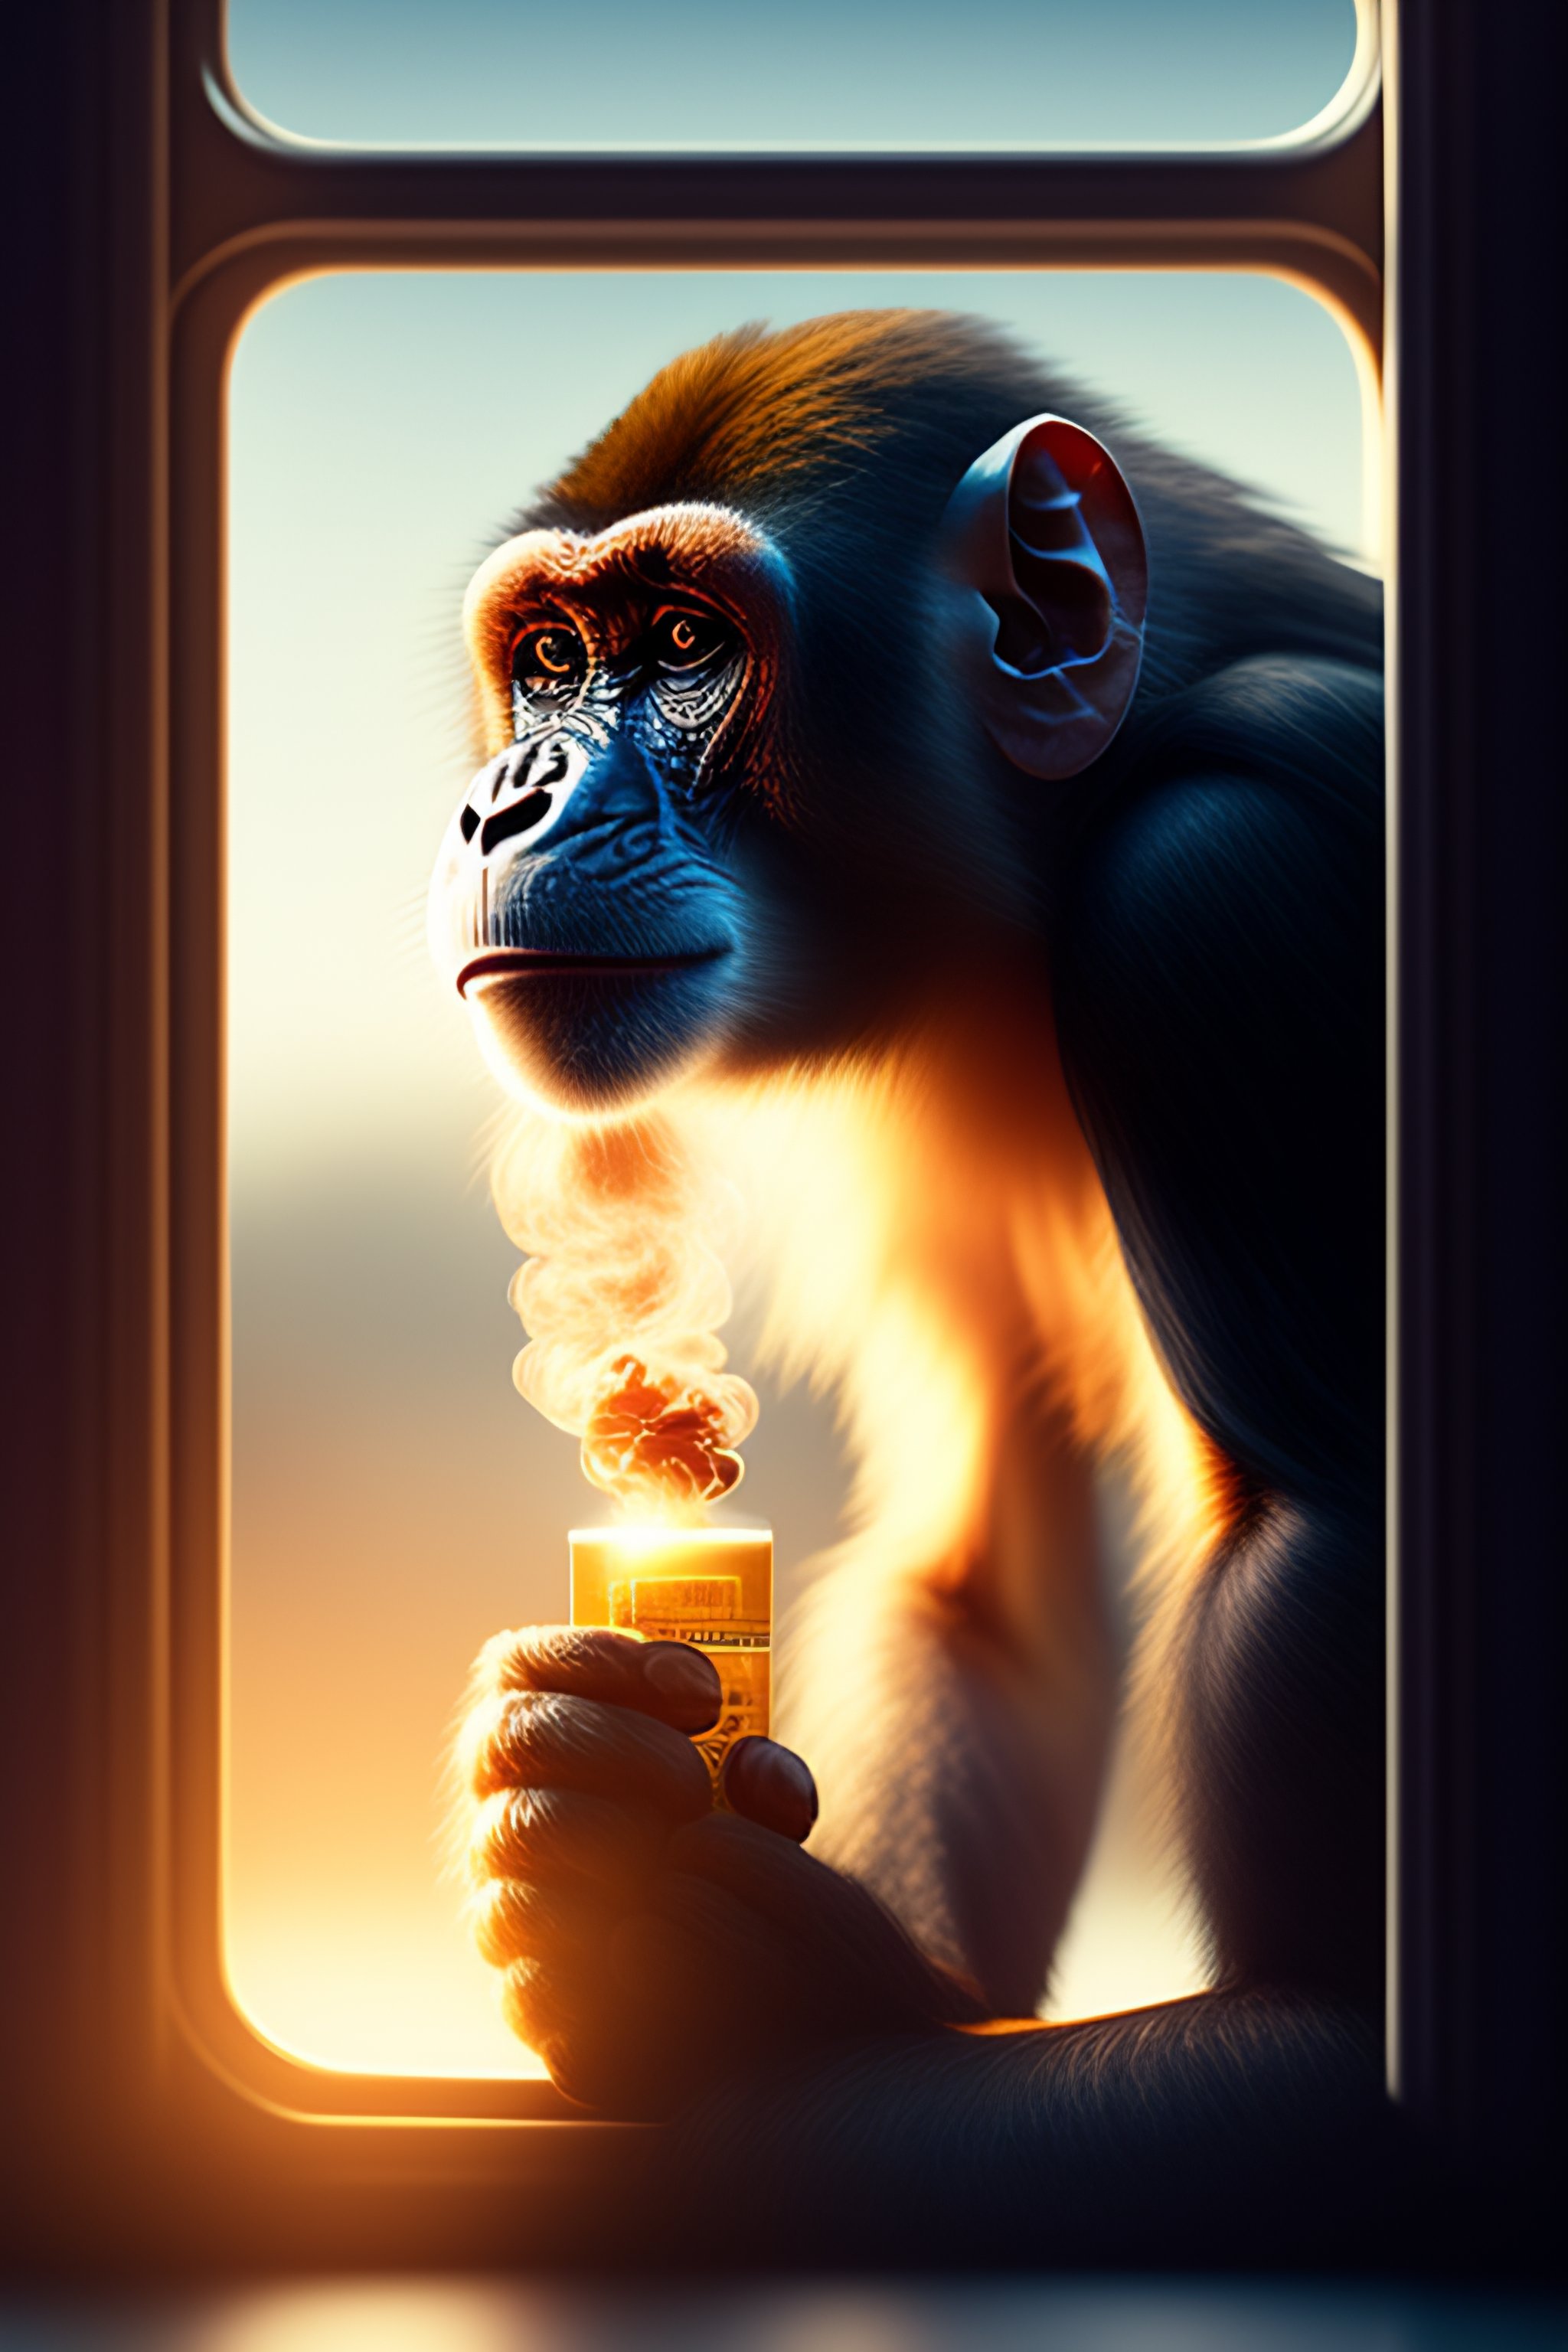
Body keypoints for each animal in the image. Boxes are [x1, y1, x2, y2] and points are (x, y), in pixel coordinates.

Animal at [429, 310, 1398, 2259]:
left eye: (682, 645)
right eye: (553, 658)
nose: (507, 796)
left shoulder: (1224, 892)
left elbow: (1329, 2044)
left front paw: (695, 1951)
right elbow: (980, 1563)